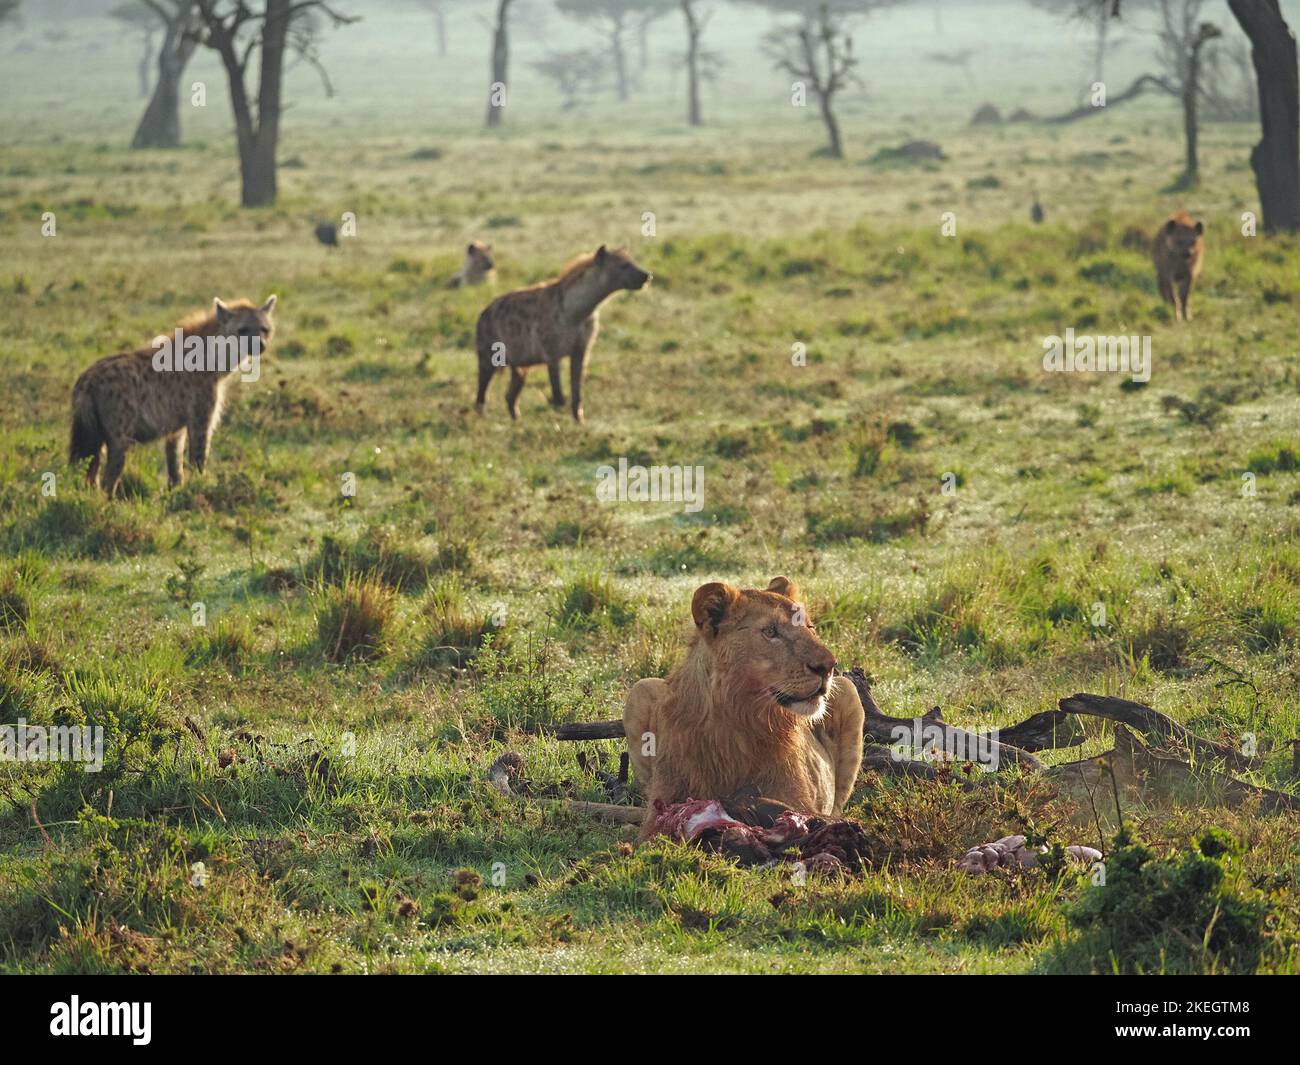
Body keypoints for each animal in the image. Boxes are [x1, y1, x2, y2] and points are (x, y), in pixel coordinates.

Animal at [623, 577, 865, 841]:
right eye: (770, 631)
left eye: (810, 627)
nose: (828, 666)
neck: (739, 719)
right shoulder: (660, 807)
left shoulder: (800, 803)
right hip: (639, 689)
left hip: (848, 689)